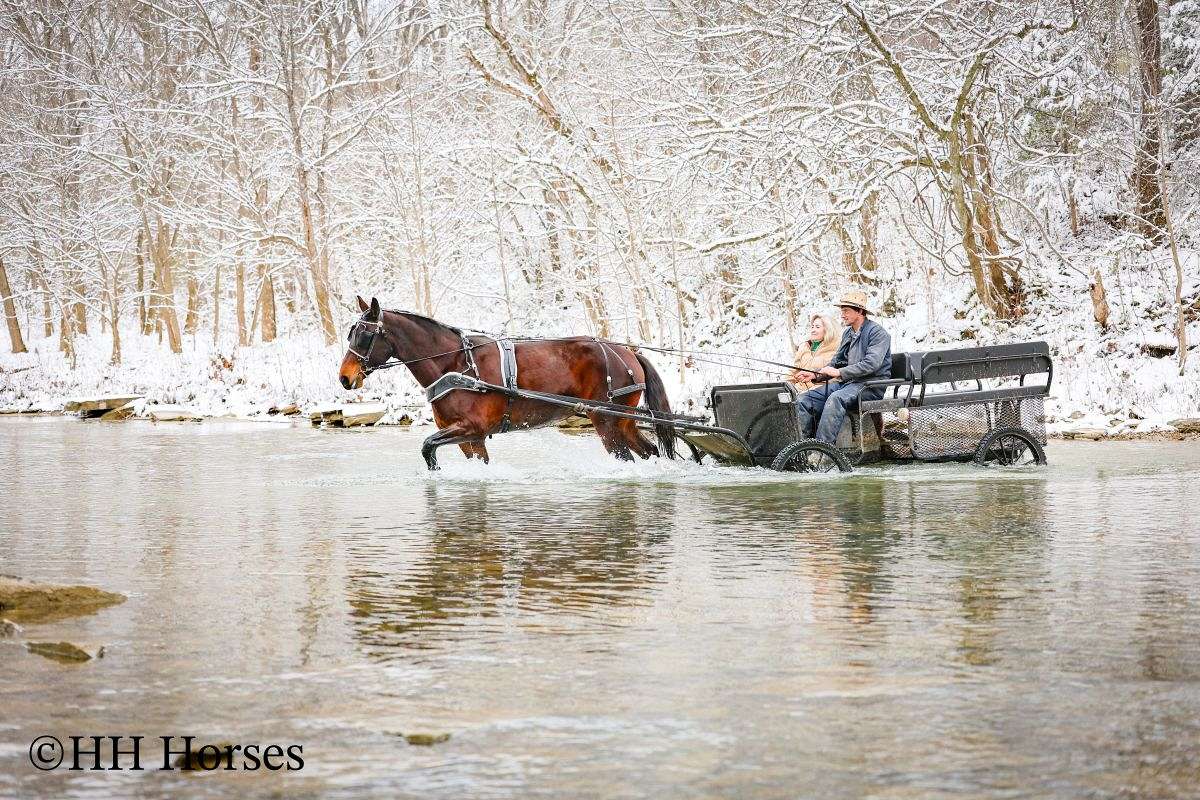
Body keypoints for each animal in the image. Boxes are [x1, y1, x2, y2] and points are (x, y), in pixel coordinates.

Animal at [338, 296, 677, 470]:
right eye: (351, 332)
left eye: (365, 335)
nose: (344, 377)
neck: (456, 364)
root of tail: (628, 352)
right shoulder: (471, 439)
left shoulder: (471, 429)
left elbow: (427, 448)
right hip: (624, 422)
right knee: (650, 452)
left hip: (606, 421)